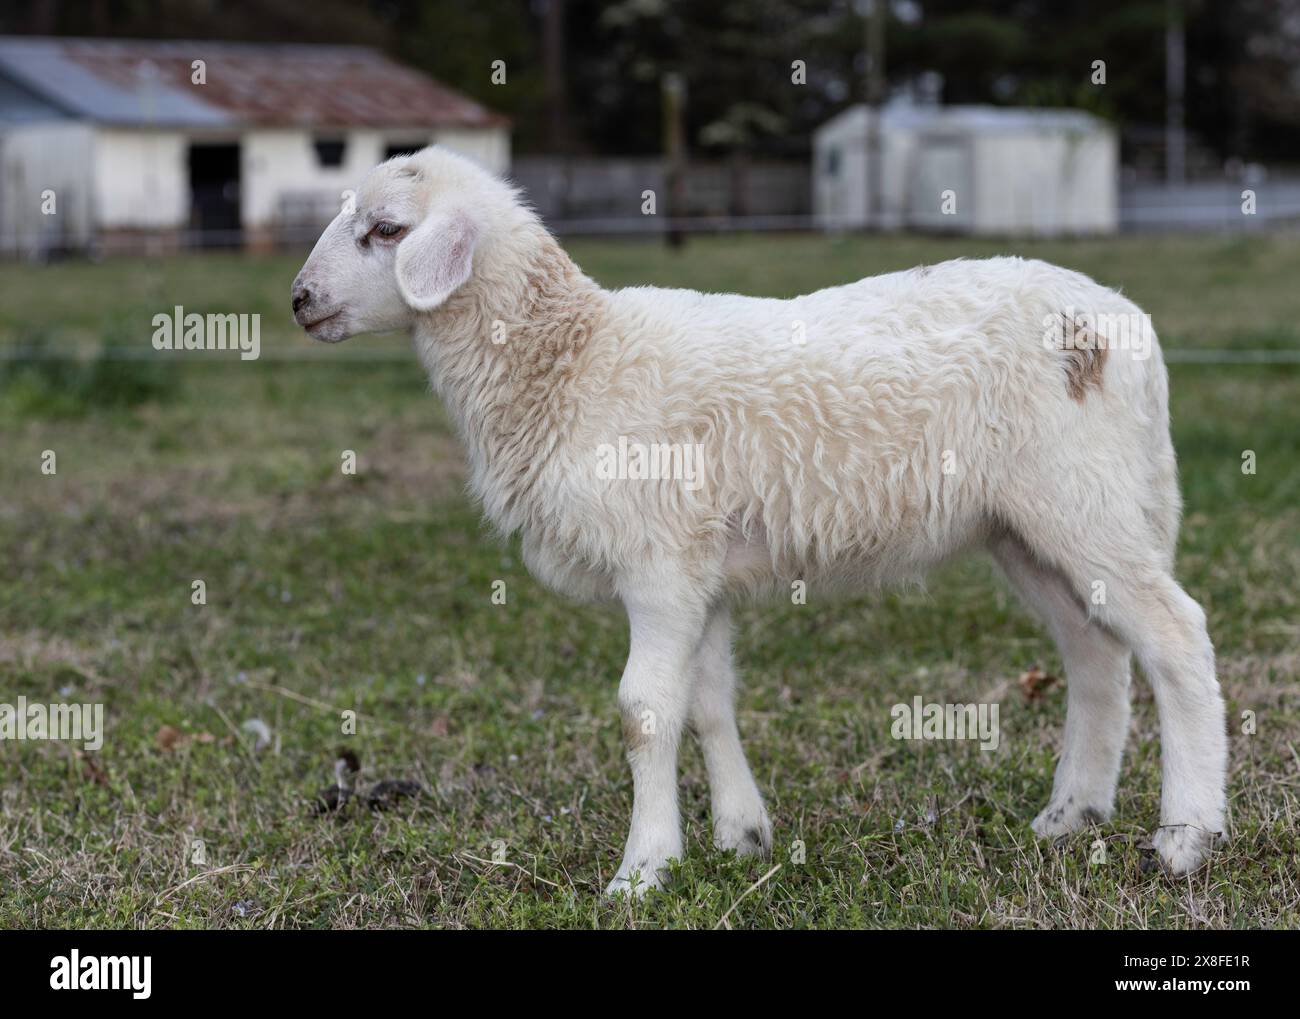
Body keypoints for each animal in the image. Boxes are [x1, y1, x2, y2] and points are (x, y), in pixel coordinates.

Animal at [292, 146, 1227, 896]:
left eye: (384, 229)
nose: (300, 301)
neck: (572, 360)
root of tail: (1127, 326)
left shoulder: (659, 562)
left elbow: (642, 710)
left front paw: (643, 870)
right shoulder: (699, 568)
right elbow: (706, 702)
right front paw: (740, 836)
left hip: (1082, 494)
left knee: (1176, 634)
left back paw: (1185, 837)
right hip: (1027, 525)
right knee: (1096, 654)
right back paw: (1072, 815)